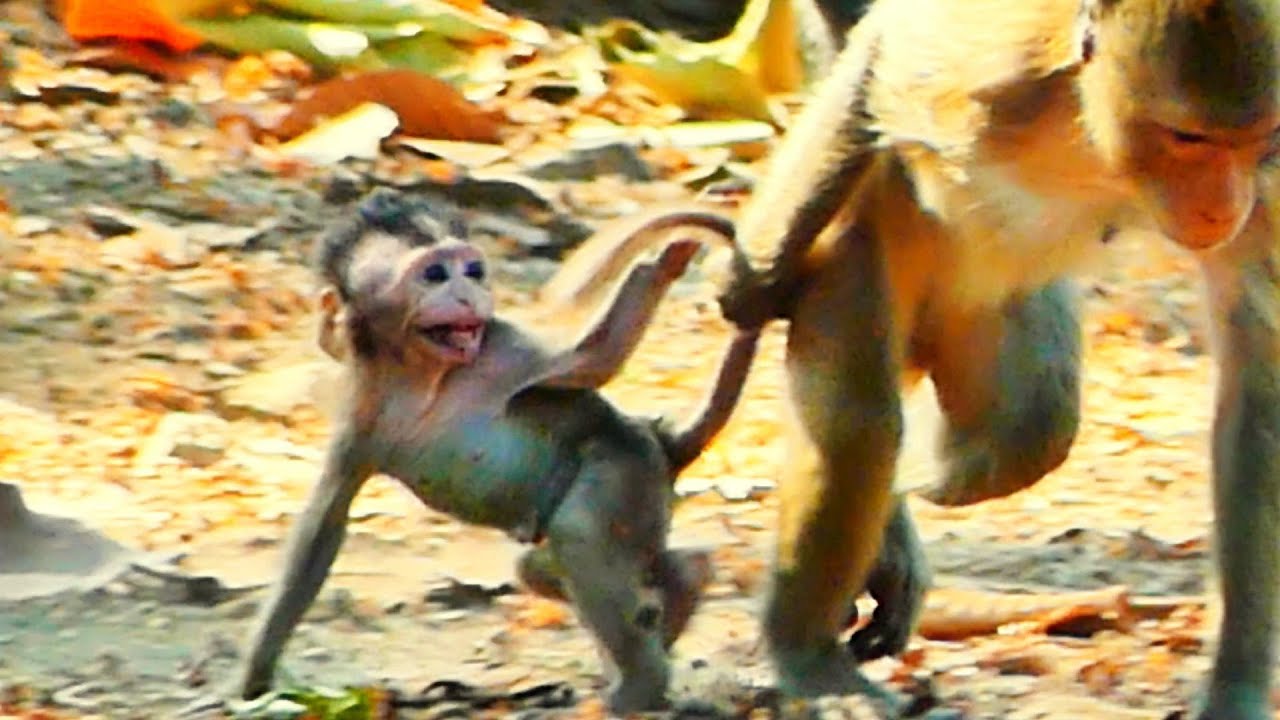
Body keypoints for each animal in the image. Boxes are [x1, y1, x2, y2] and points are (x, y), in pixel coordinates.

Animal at [234, 189, 762, 714]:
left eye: (472, 270)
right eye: (434, 274)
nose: (468, 293)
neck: (425, 376)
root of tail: (662, 443)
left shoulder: (501, 352)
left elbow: (596, 359)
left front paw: (664, 262)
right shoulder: (362, 403)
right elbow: (325, 521)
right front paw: (256, 681)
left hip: (628, 466)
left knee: (580, 531)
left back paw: (643, 679)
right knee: (542, 567)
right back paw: (681, 585)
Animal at [709, 1, 1280, 717]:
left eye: (1253, 139)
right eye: (1188, 138)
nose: (1222, 204)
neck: (1102, 148)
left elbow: (1257, 381)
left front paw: (1236, 689)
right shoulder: (1005, 75)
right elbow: (884, 48)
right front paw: (754, 273)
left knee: (1024, 431)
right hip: (862, 242)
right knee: (859, 423)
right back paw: (806, 654)